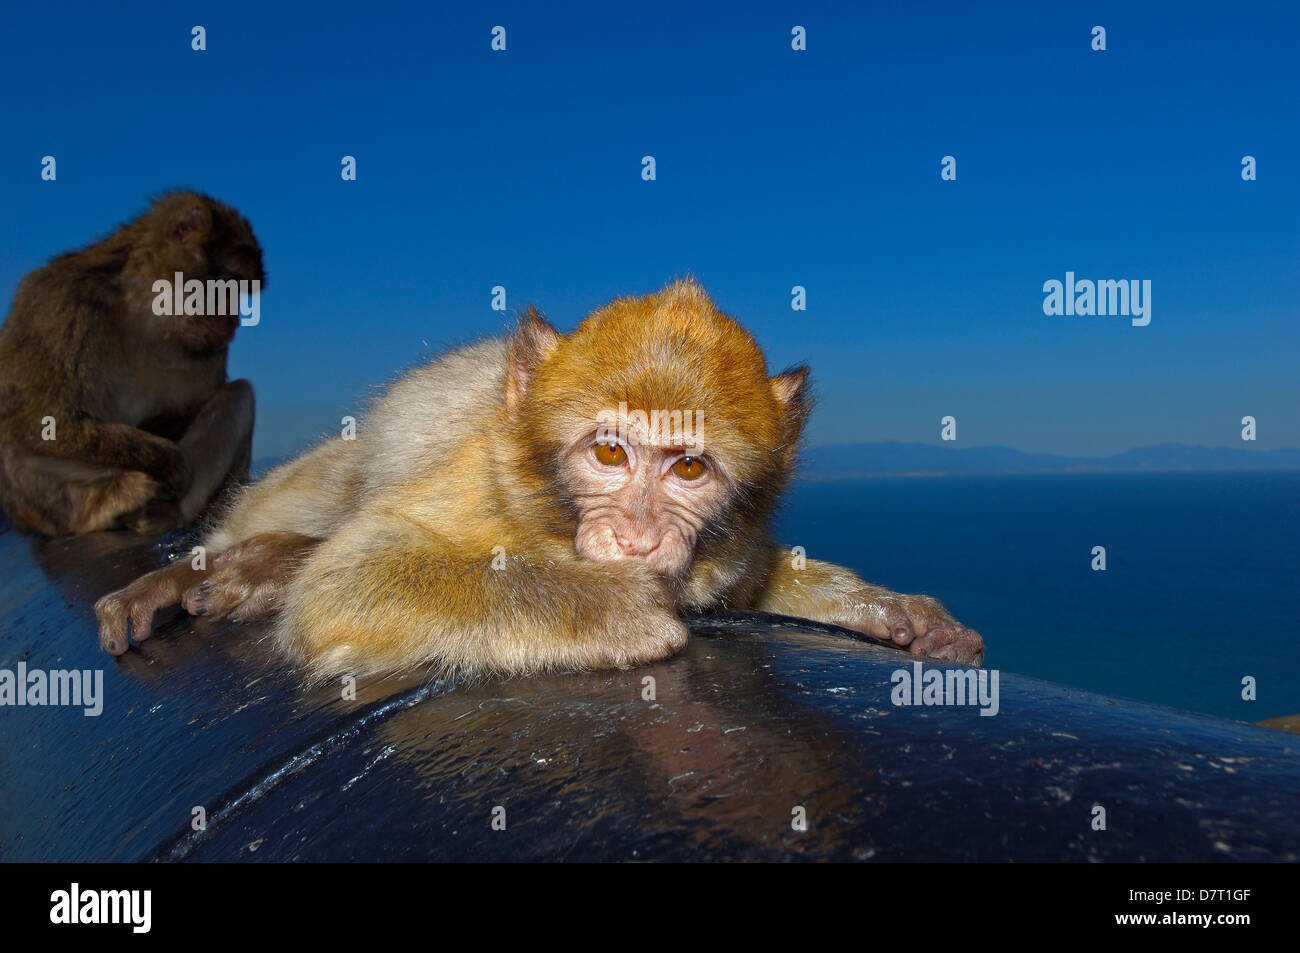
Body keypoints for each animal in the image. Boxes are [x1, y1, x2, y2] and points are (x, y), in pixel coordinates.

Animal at [0, 191, 265, 536]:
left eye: (242, 289)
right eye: (231, 283)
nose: (234, 319)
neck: (146, 313)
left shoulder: (209, 349)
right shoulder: (61, 304)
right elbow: (39, 420)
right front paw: (167, 460)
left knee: (238, 395)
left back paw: (168, 515)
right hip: (42, 513)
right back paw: (101, 507)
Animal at [94, 278, 984, 678]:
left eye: (689, 467)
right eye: (610, 454)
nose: (638, 537)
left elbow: (750, 577)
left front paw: (888, 609)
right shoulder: (483, 486)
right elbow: (350, 576)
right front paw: (615, 611)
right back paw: (224, 567)